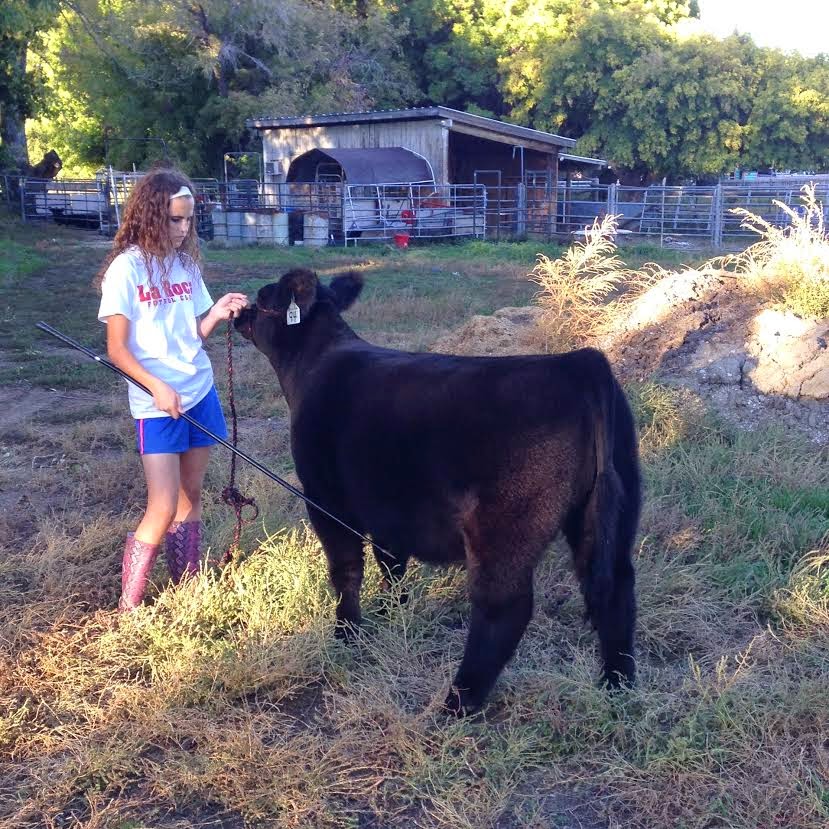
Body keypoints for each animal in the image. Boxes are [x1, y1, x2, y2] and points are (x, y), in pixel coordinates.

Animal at [234, 268, 641, 715]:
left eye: (264, 296)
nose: (238, 312)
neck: (316, 363)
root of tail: (579, 363)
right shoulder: (389, 510)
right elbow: (390, 563)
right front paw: (392, 611)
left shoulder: (325, 498)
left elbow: (346, 570)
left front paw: (347, 632)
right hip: (608, 514)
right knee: (616, 587)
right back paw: (617, 684)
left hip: (505, 525)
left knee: (503, 608)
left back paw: (457, 703)